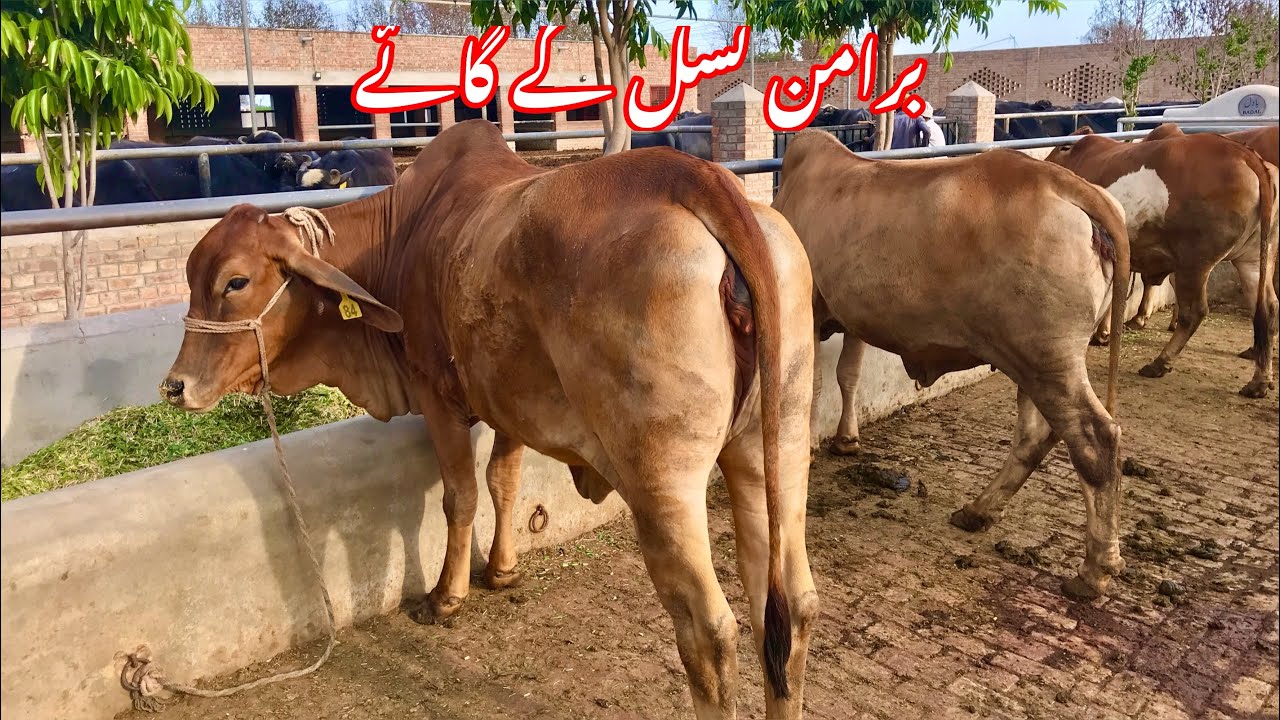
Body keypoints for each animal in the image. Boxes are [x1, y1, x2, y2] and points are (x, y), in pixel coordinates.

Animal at [159, 119, 818, 718]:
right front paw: (502, 570)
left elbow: (460, 495)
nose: (175, 386)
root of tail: (700, 177)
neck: (400, 237)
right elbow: (504, 479)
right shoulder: (509, 401)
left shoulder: (436, 393)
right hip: (776, 445)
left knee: (710, 633)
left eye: (235, 281)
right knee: (790, 609)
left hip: (663, 483)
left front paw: (447, 596)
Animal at [773, 130, 1132, 601]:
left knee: (1095, 439)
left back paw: (1095, 568)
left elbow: (814, 386)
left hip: (1045, 358)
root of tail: (1068, 184)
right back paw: (978, 511)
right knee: (1036, 434)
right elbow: (847, 373)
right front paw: (846, 439)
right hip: (1035, 360)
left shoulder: (813, 310)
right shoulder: (852, 315)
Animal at [1047, 126, 1278, 398]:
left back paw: (1160, 362)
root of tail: (1245, 154)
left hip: (1194, 262)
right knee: (1266, 308)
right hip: (1254, 258)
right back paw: (1259, 380)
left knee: (1194, 312)